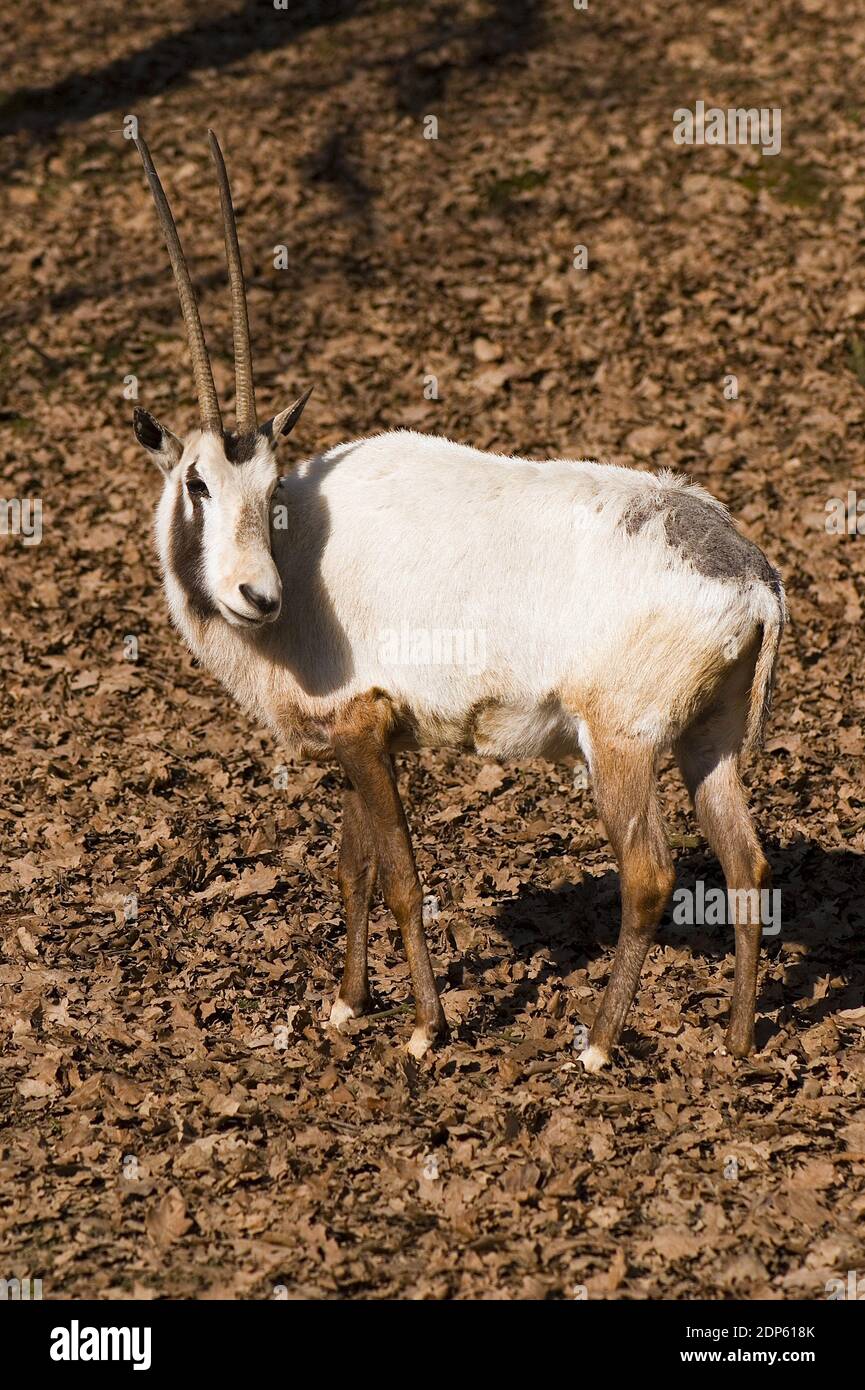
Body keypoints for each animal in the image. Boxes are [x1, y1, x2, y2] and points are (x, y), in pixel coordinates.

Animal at [131, 131, 785, 1069]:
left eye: (265, 483)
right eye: (198, 483)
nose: (257, 595)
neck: (306, 546)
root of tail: (751, 574)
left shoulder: (363, 731)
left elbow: (401, 878)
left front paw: (422, 1028)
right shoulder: (363, 740)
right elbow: (354, 867)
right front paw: (347, 1004)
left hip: (620, 744)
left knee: (650, 873)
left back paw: (597, 1045)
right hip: (711, 741)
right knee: (744, 865)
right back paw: (734, 1042)